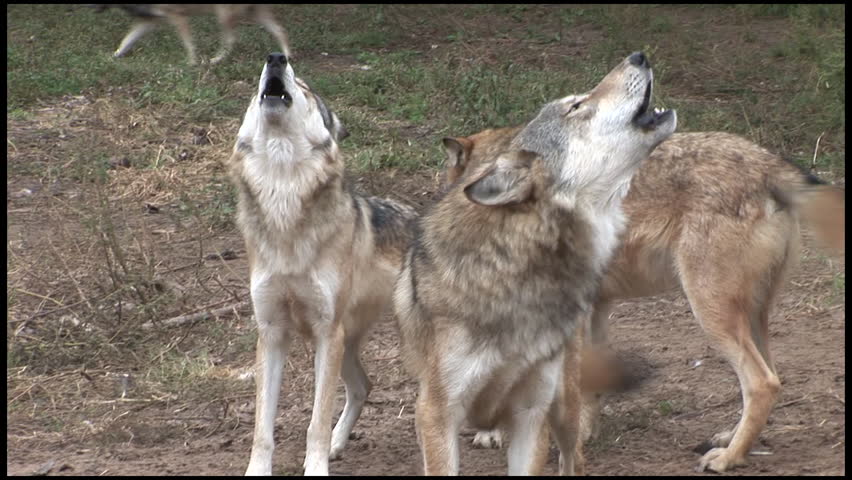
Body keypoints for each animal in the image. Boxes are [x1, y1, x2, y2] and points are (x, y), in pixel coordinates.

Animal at [92, 4, 291, 65]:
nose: (91, 9)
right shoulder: (148, 22)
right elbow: (126, 41)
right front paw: (112, 56)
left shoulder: (178, 17)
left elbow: (189, 44)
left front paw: (191, 63)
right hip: (254, 13)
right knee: (280, 30)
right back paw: (287, 57)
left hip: (224, 15)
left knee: (230, 40)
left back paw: (215, 60)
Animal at [228, 53, 416, 476]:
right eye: (255, 86)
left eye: (306, 89)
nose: (276, 57)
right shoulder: (273, 333)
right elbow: (262, 428)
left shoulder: (327, 333)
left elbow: (315, 421)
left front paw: (315, 466)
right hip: (346, 343)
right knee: (364, 386)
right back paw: (337, 444)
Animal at [394, 52, 676, 475]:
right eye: (576, 106)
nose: (638, 56)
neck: (518, 268)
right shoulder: (436, 414)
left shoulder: (531, 413)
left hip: (564, 406)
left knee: (574, 457)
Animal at [442, 128, 844, 472]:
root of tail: (767, 161)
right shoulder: (595, 309)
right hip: (752, 315)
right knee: (770, 379)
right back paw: (730, 440)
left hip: (712, 315)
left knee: (762, 383)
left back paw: (728, 458)